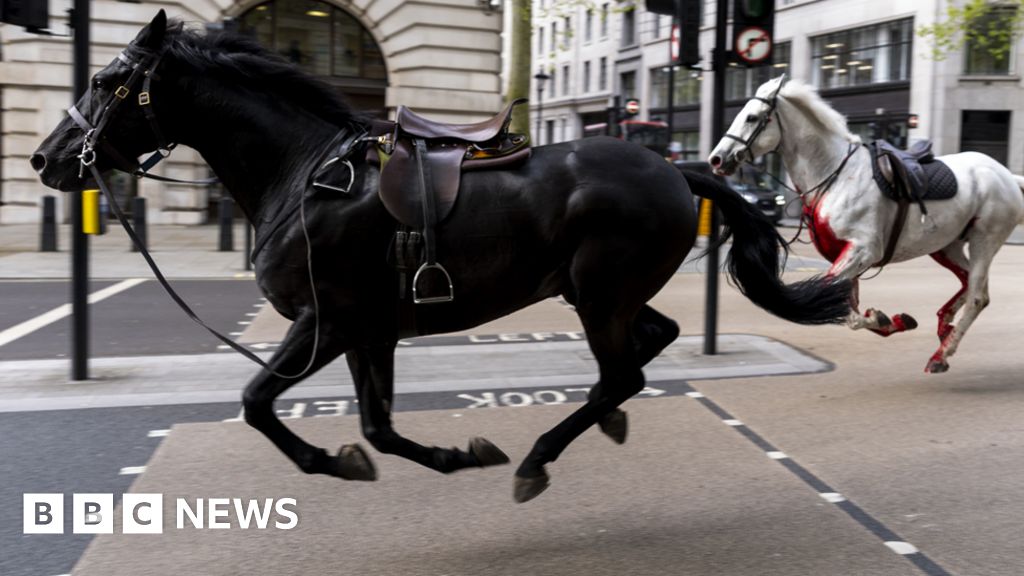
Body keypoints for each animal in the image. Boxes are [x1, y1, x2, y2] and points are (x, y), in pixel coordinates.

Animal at [32, 12, 851, 503]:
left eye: (106, 81)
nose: (46, 159)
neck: (303, 175)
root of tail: (676, 169)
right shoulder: (368, 331)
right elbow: (376, 428)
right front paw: (442, 455)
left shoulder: (326, 321)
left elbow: (259, 401)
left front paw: (339, 461)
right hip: (596, 291)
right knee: (650, 345)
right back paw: (601, 421)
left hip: (597, 292)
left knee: (624, 370)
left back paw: (540, 457)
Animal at [709, 76, 1024, 374]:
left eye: (752, 117)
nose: (716, 158)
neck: (835, 174)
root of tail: (1006, 175)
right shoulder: (846, 256)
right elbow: (848, 307)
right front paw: (891, 320)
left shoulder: (863, 250)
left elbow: (842, 305)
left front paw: (883, 319)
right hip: (947, 246)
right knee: (968, 283)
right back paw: (944, 328)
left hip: (984, 240)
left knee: (977, 297)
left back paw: (940, 354)